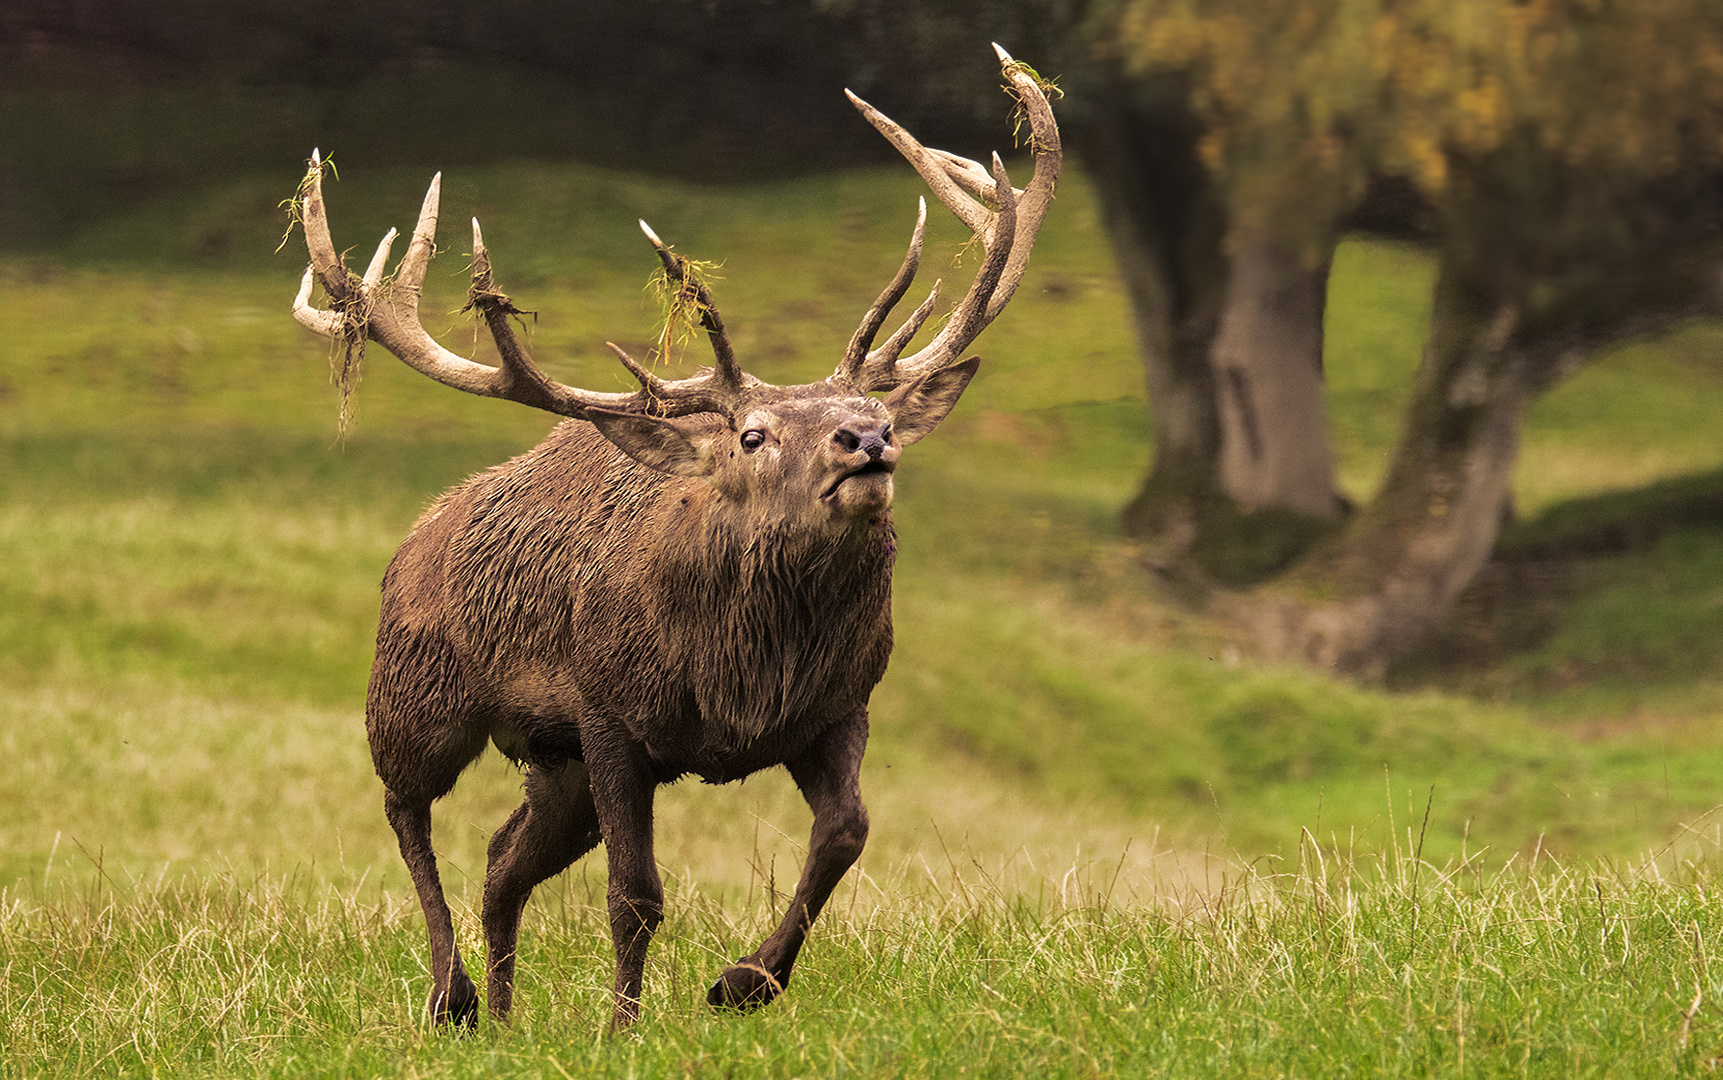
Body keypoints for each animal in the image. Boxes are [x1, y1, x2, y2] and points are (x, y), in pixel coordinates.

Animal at [289, 45, 1059, 1030]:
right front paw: (623, 1030)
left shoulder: (838, 705)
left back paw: (503, 1019)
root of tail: (412, 541)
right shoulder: (609, 711)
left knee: (501, 859)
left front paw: (741, 982)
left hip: (552, 762)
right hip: (418, 691)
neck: (742, 679)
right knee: (403, 806)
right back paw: (452, 995)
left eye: (878, 411)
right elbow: (636, 893)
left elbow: (846, 833)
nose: (866, 441)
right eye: (752, 437)